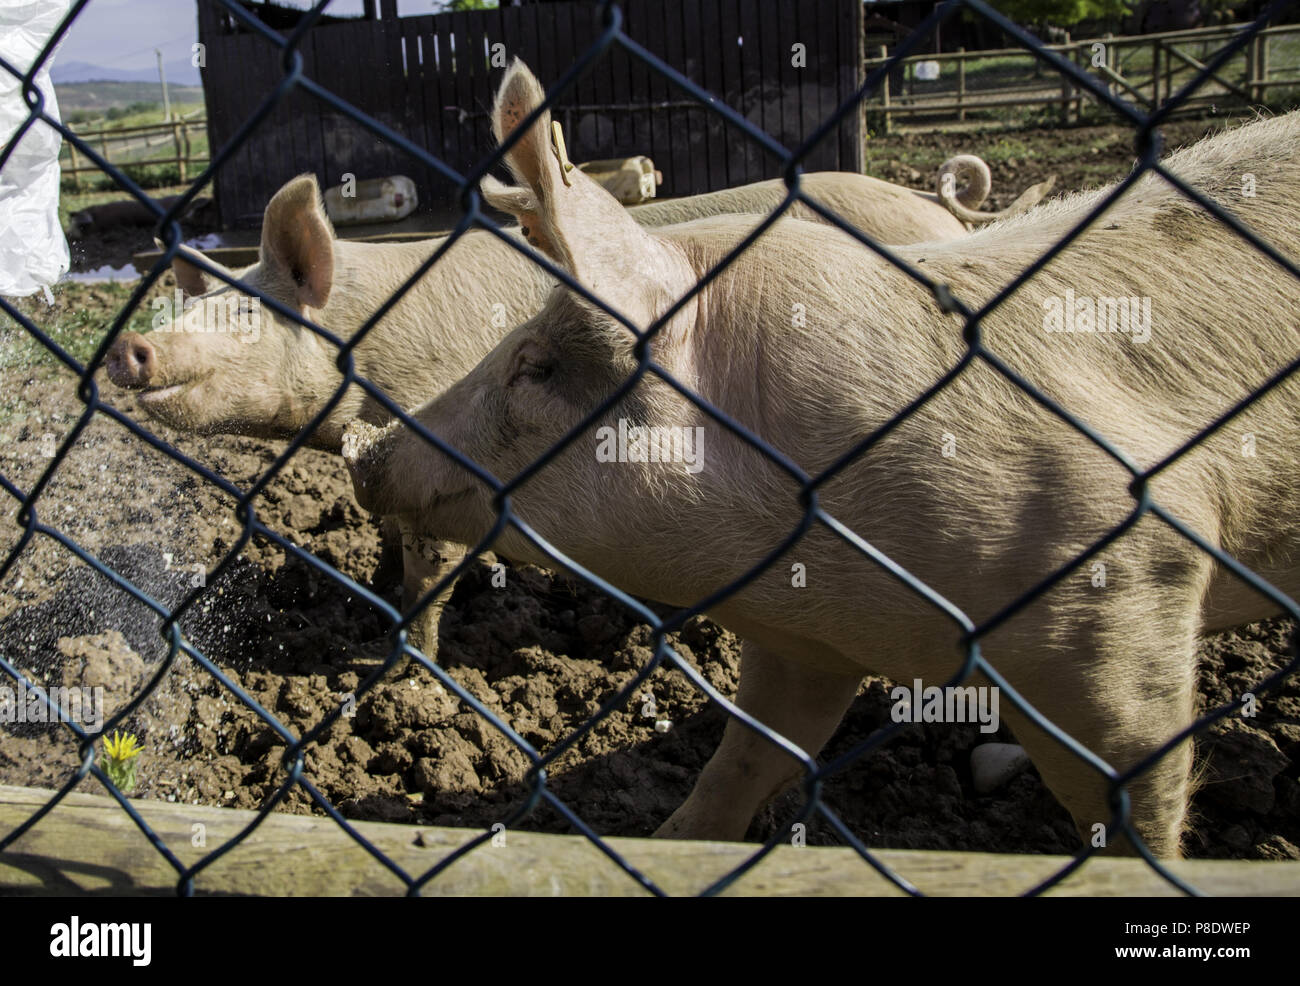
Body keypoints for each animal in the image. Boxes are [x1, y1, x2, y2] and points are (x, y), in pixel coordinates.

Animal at [343, 59, 1300, 857]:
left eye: (535, 365)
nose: (365, 450)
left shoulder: (1122, 598)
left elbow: (1134, 806)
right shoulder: (805, 644)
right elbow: (744, 764)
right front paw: (672, 843)